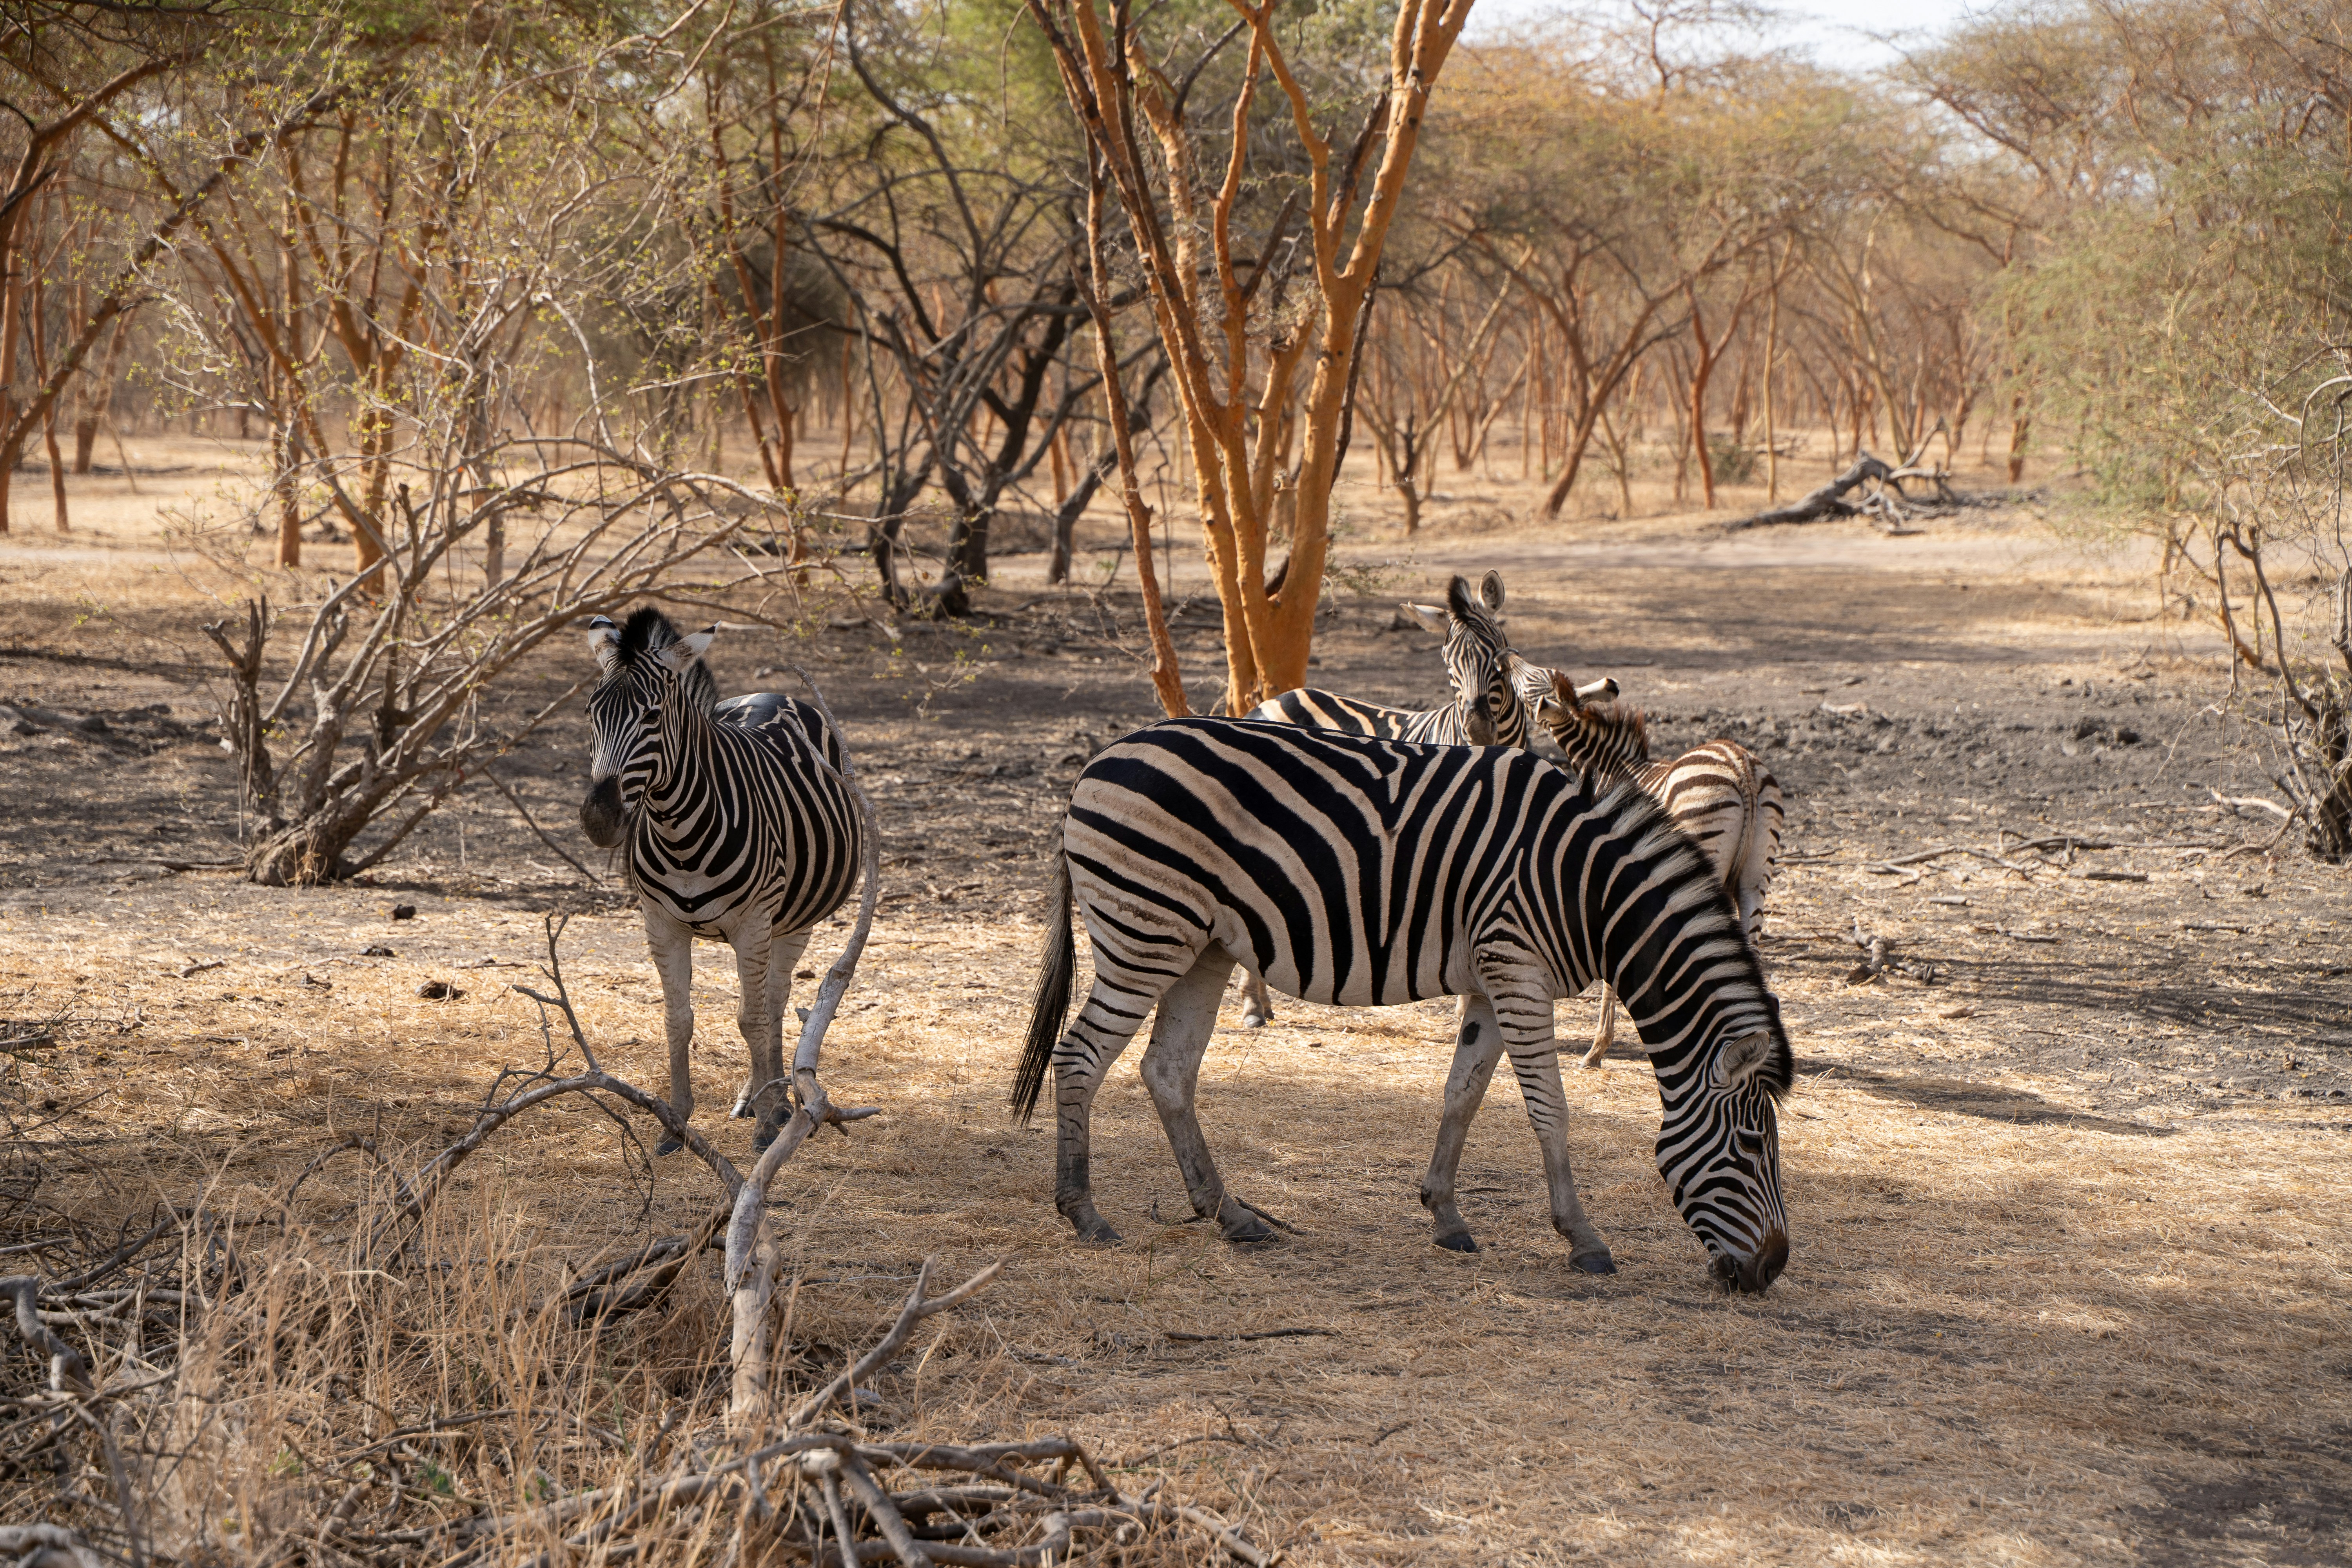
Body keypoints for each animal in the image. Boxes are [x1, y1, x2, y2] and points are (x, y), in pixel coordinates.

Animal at [578, 608, 864, 1152]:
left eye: (652, 717)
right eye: (591, 714)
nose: (599, 820)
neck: (679, 831)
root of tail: (773, 692)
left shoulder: (753, 923)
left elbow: (752, 1018)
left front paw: (769, 1123)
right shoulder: (661, 923)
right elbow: (678, 1019)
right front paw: (676, 1121)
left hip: (793, 920)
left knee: (772, 1003)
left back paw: (773, 1101)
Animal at [1012, 717, 1793, 1294]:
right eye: (1753, 1147)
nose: (1772, 1269)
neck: (1590, 889)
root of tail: (1098, 760)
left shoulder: (1492, 978)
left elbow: (1462, 1094)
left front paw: (1445, 1216)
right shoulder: (1518, 968)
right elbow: (1550, 1111)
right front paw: (1583, 1237)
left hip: (1201, 945)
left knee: (1168, 1071)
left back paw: (1229, 1214)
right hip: (1146, 932)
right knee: (1080, 1057)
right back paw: (1084, 1214)